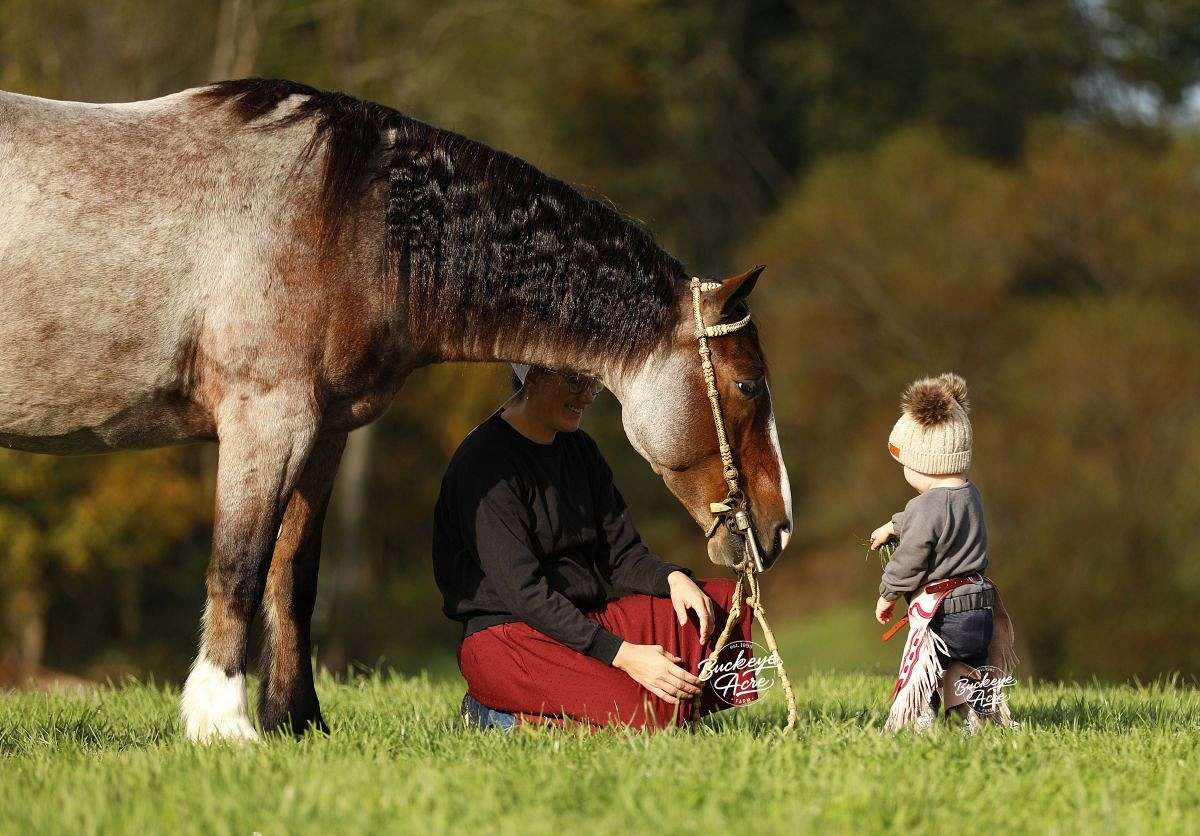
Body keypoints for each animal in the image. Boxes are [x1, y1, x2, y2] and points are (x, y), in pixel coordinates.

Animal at [0, 78, 792, 742]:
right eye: (749, 385)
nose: (777, 527)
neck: (349, 218)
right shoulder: (265, 421)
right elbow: (238, 568)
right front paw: (222, 725)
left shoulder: (321, 434)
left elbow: (293, 579)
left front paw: (296, 723)